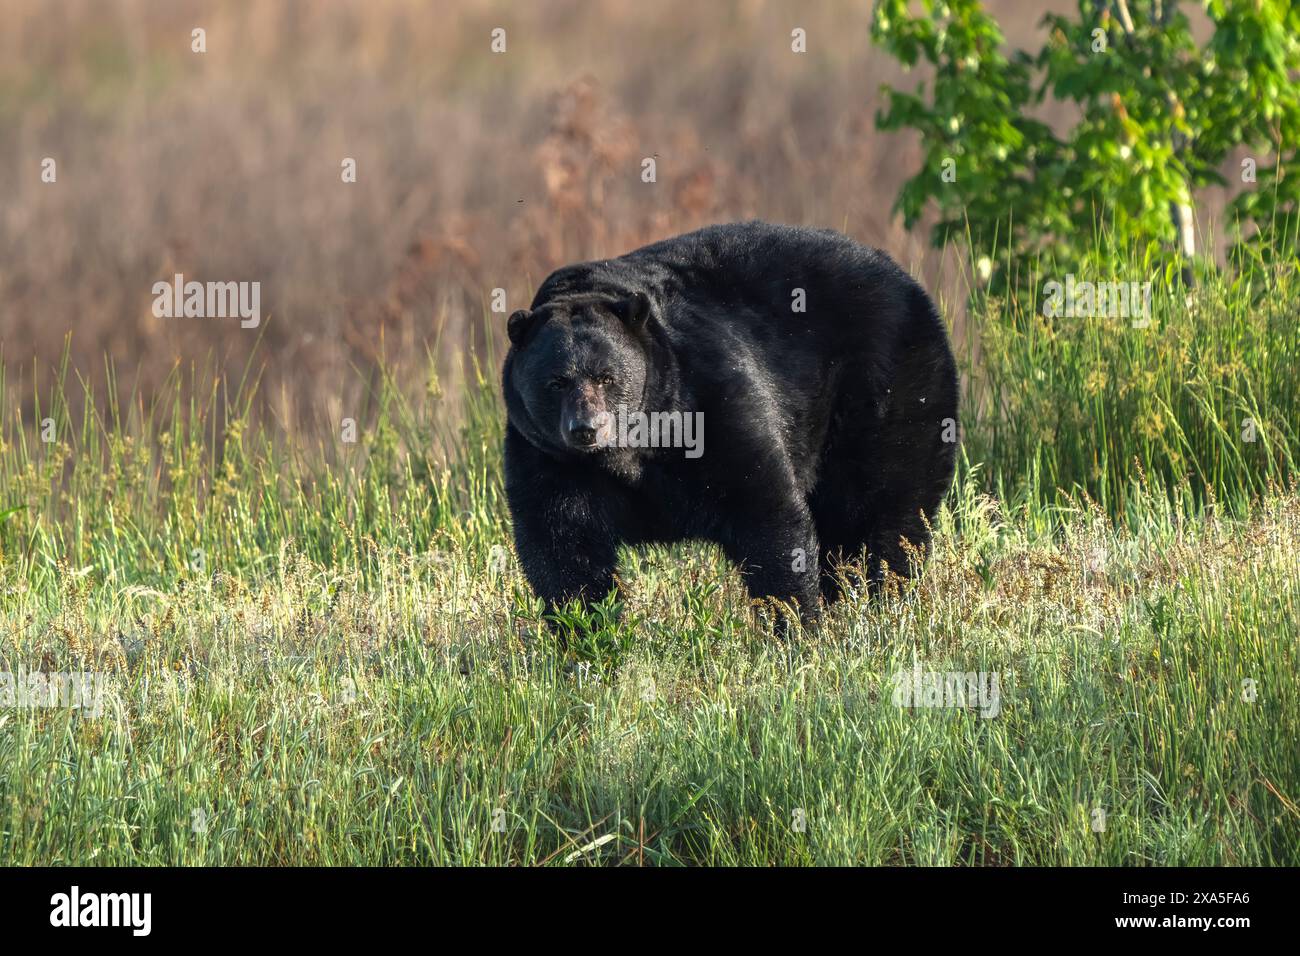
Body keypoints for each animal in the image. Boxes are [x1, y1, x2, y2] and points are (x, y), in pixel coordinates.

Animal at [502, 220, 958, 629]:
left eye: (606, 377)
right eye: (557, 381)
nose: (586, 429)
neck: (635, 446)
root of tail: (904, 278)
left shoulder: (710, 398)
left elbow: (764, 509)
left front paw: (793, 625)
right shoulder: (546, 455)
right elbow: (562, 544)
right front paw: (585, 634)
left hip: (888, 386)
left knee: (885, 507)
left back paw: (886, 601)